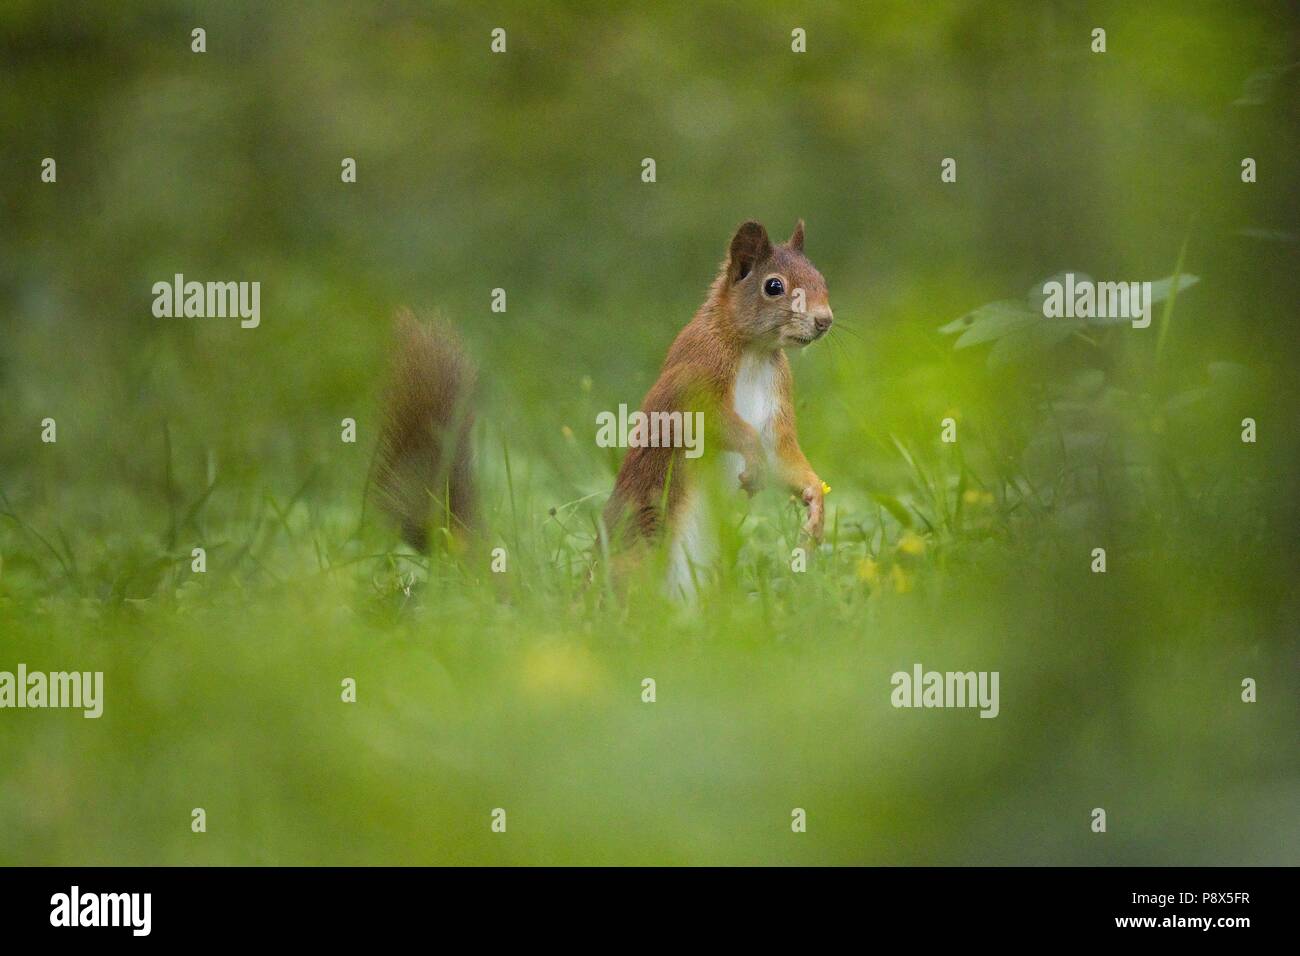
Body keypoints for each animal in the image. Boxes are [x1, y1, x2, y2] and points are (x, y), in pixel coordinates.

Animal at [375, 219, 832, 597]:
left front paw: (815, 505)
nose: (825, 320)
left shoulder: (777, 402)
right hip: (641, 546)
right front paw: (752, 455)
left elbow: (784, 454)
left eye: (821, 279)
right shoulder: (694, 375)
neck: (753, 352)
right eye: (774, 286)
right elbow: (707, 424)